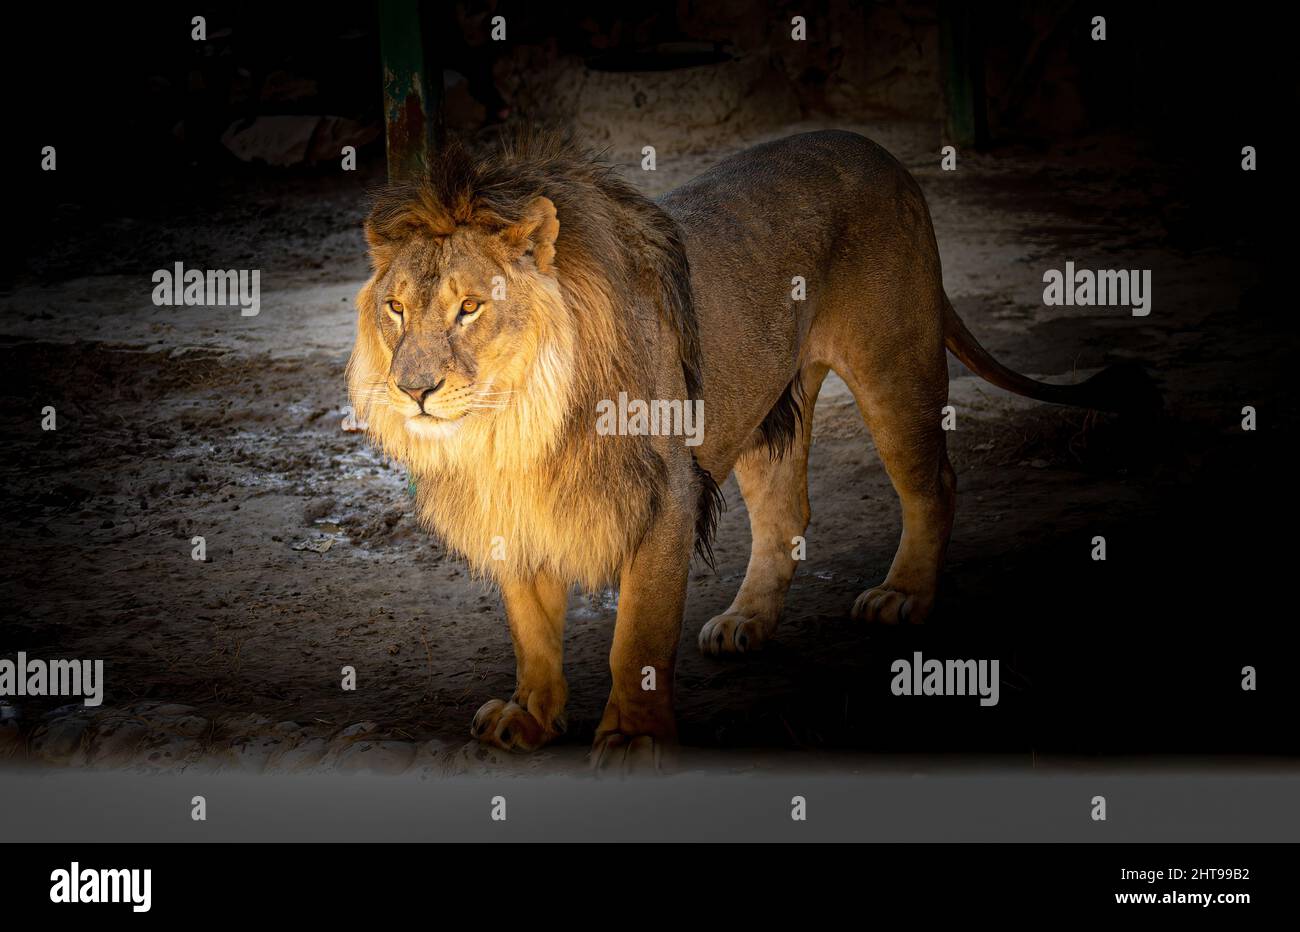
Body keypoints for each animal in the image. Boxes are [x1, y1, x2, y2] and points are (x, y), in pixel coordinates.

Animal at [347, 129, 1154, 770]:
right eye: (396, 309)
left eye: (470, 307)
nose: (414, 390)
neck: (512, 429)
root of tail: (881, 153)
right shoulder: (514, 512)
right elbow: (531, 628)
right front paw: (532, 715)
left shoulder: (665, 498)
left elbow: (636, 638)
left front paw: (635, 738)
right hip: (771, 401)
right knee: (786, 516)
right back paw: (747, 621)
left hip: (894, 366)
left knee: (936, 483)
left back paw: (902, 595)